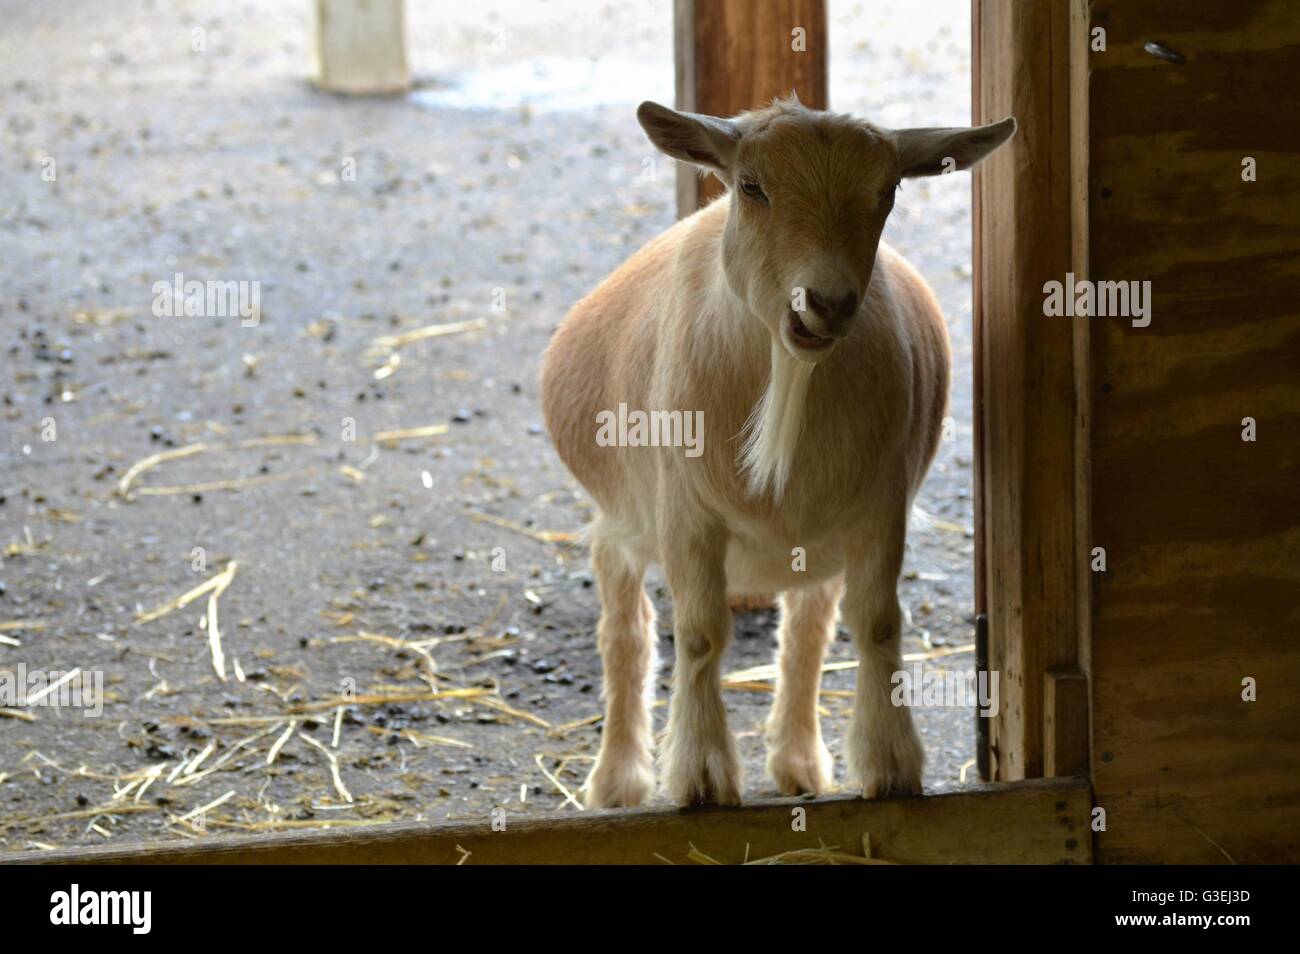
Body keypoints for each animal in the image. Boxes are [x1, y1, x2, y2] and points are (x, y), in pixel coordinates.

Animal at [541, 96, 1015, 807]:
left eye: (889, 191)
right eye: (751, 186)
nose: (827, 302)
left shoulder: (878, 506)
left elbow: (876, 622)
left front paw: (890, 766)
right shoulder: (685, 512)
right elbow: (701, 634)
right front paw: (703, 776)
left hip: (815, 550)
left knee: (808, 630)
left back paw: (798, 763)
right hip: (619, 524)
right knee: (626, 631)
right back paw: (619, 779)